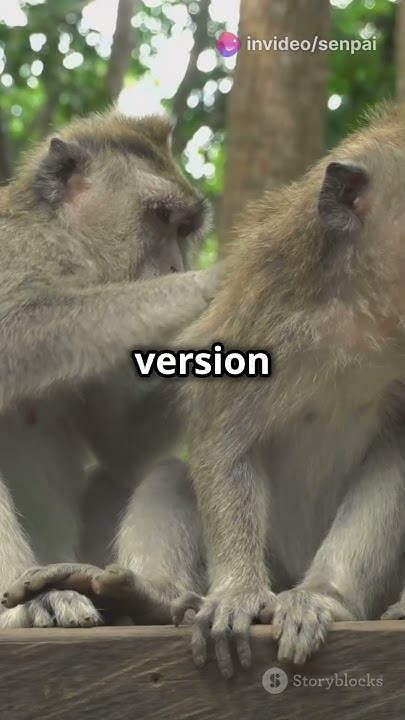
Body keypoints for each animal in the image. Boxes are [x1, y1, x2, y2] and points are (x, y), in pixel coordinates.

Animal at [0, 107, 218, 628]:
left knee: (130, 473)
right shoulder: (12, 248)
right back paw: (34, 606)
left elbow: (123, 447)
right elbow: (15, 328)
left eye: (185, 230)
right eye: (159, 218)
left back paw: (147, 598)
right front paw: (213, 284)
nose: (177, 267)